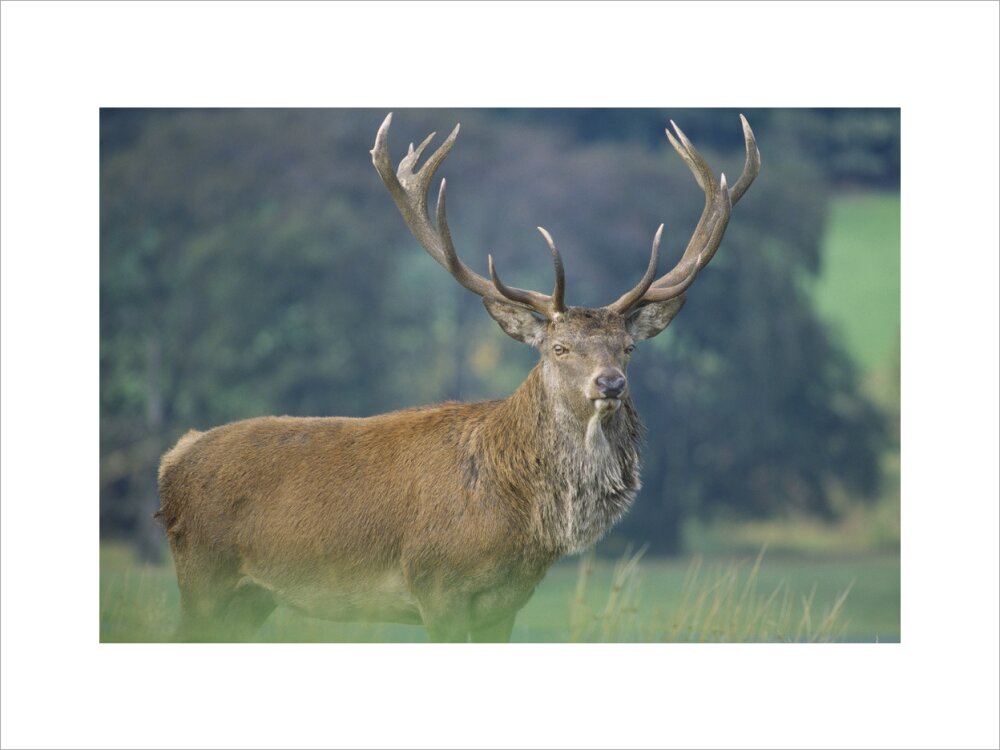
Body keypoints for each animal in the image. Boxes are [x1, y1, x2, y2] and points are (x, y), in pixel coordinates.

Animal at [156, 112, 760, 642]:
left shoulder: (507, 603)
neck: (516, 516)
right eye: (559, 347)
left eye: (628, 347)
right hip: (204, 574)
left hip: (249, 598)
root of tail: (172, 461)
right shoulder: (436, 587)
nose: (610, 384)